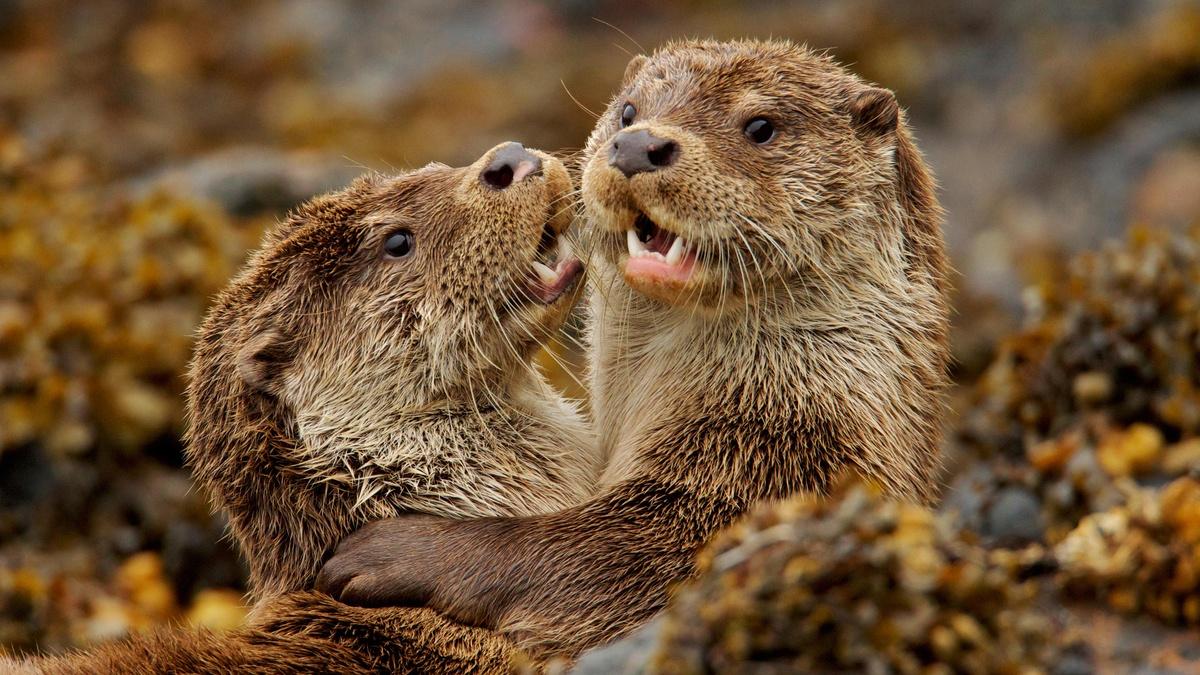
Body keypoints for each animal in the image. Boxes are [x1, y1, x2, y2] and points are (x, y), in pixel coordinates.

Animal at [318, 39, 951, 660]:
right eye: (627, 111)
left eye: (761, 127)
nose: (638, 144)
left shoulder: (780, 465)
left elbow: (600, 559)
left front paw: (399, 552)